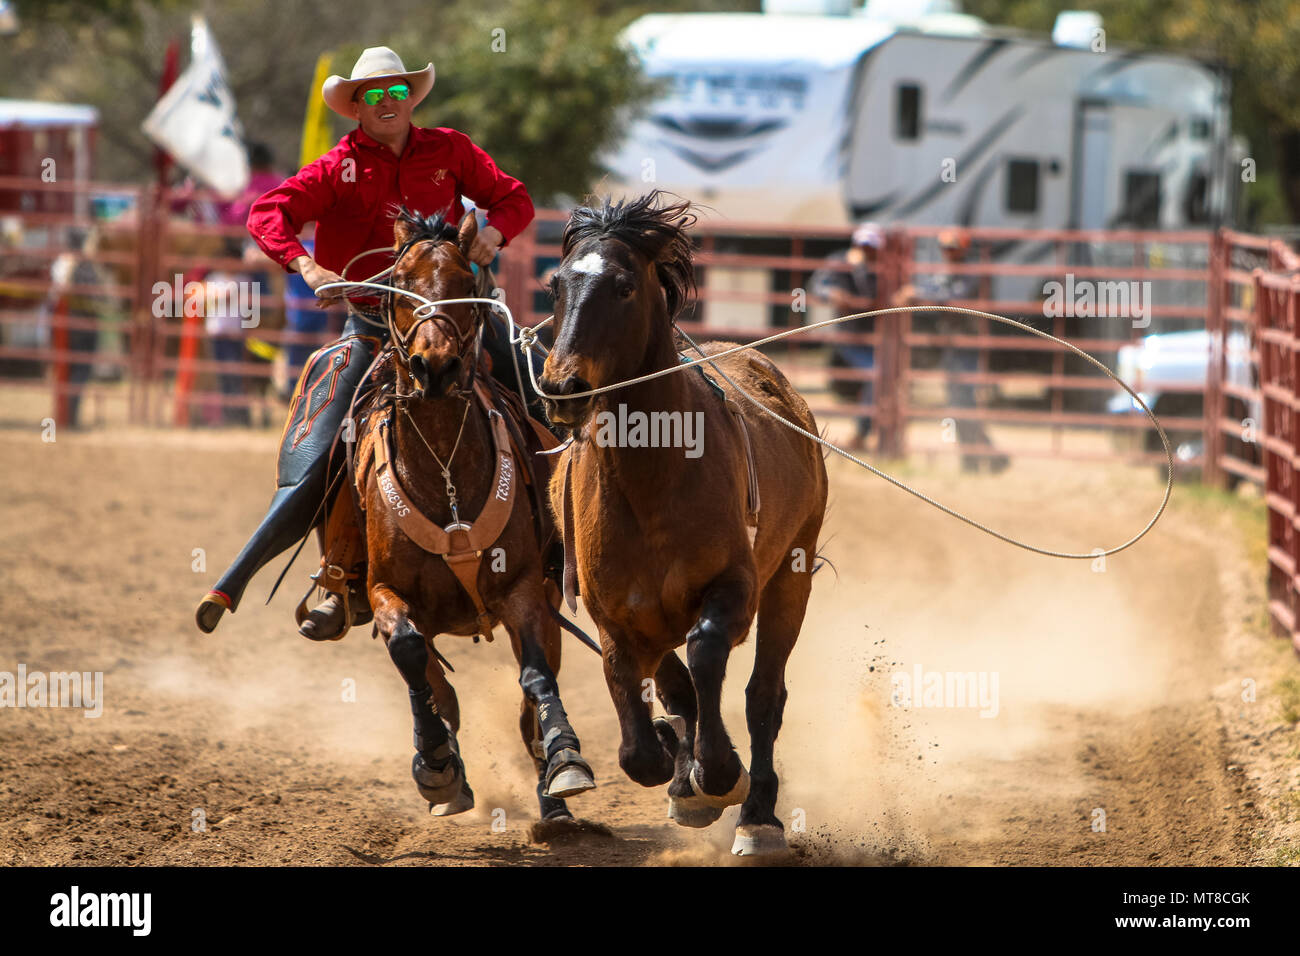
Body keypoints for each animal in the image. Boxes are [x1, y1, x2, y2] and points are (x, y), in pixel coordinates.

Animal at [350, 207, 596, 822]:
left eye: (467, 283)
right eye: (399, 285)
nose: (434, 366)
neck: (444, 471)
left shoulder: (525, 589)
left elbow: (536, 675)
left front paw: (565, 762)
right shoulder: (385, 590)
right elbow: (413, 655)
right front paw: (436, 766)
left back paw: (551, 798)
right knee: (438, 681)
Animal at [538, 191, 829, 855]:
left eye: (622, 286)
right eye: (555, 284)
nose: (563, 387)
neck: (652, 482)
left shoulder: (734, 587)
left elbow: (707, 652)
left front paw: (720, 775)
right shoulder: (615, 613)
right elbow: (639, 713)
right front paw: (680, 770)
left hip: (791, 577)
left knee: (763, 694)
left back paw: (758, 817)